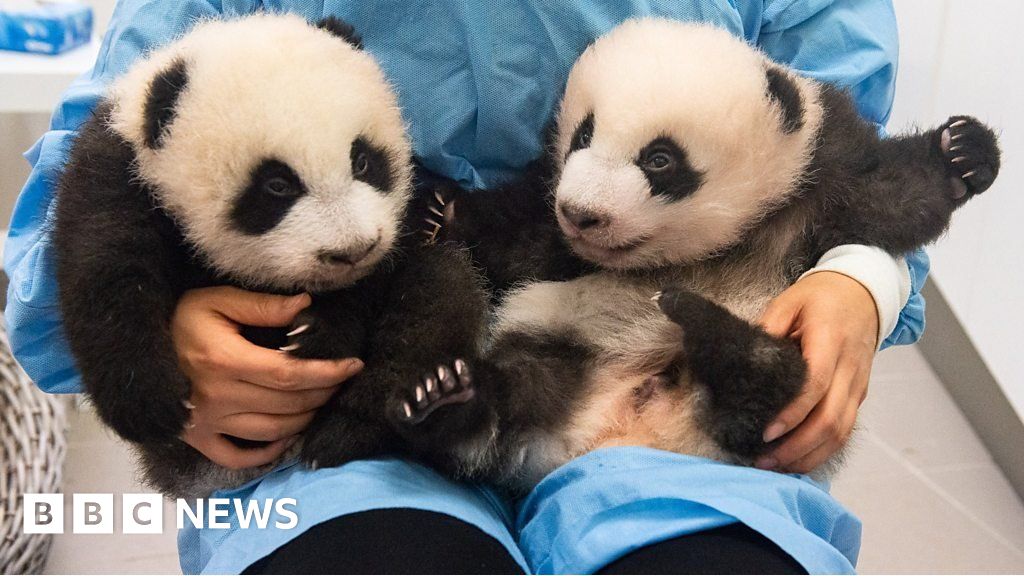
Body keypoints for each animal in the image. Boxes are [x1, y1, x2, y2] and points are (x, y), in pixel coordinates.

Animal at [53, 13, 489, 498]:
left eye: (363, 161)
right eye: (277, 185)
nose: (352, 250)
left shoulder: (391, 235)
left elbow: (382, 276)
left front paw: (321, 329)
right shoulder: (116, 171)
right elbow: (105, 265)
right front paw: (146, 399)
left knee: (436, 298)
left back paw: (366, 424)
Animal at [390, 18, 1002, 493]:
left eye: (659, 159)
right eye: (583, 136)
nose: (581, 213)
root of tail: (625, 431)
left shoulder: (814, 179)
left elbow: (891, 200)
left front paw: (963, 152)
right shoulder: (556, 226)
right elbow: (522, 247)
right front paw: (438, 214)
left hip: (779, 405)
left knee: (777, 387)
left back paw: (707, 325)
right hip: (557, 346)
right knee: (501, 412)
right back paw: (451, 399)